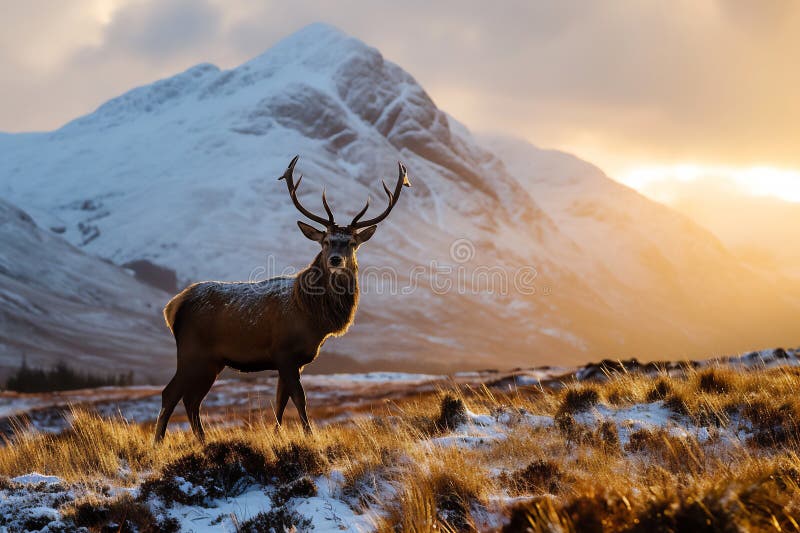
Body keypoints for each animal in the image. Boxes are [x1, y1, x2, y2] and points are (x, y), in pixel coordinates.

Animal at [153, 156, 410, 443]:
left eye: (352, 243)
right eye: (325, 241)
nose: (335, 259)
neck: (313, 316)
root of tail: (173, 306)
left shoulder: (294, 360)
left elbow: (280, 401)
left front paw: (277, 435)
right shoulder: (284, 352)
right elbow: (299, 398)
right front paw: (309, 435)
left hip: (211, 361)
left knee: (191, 399)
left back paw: (201, 439)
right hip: (191, 352)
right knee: (171, 393)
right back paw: (159, 442)